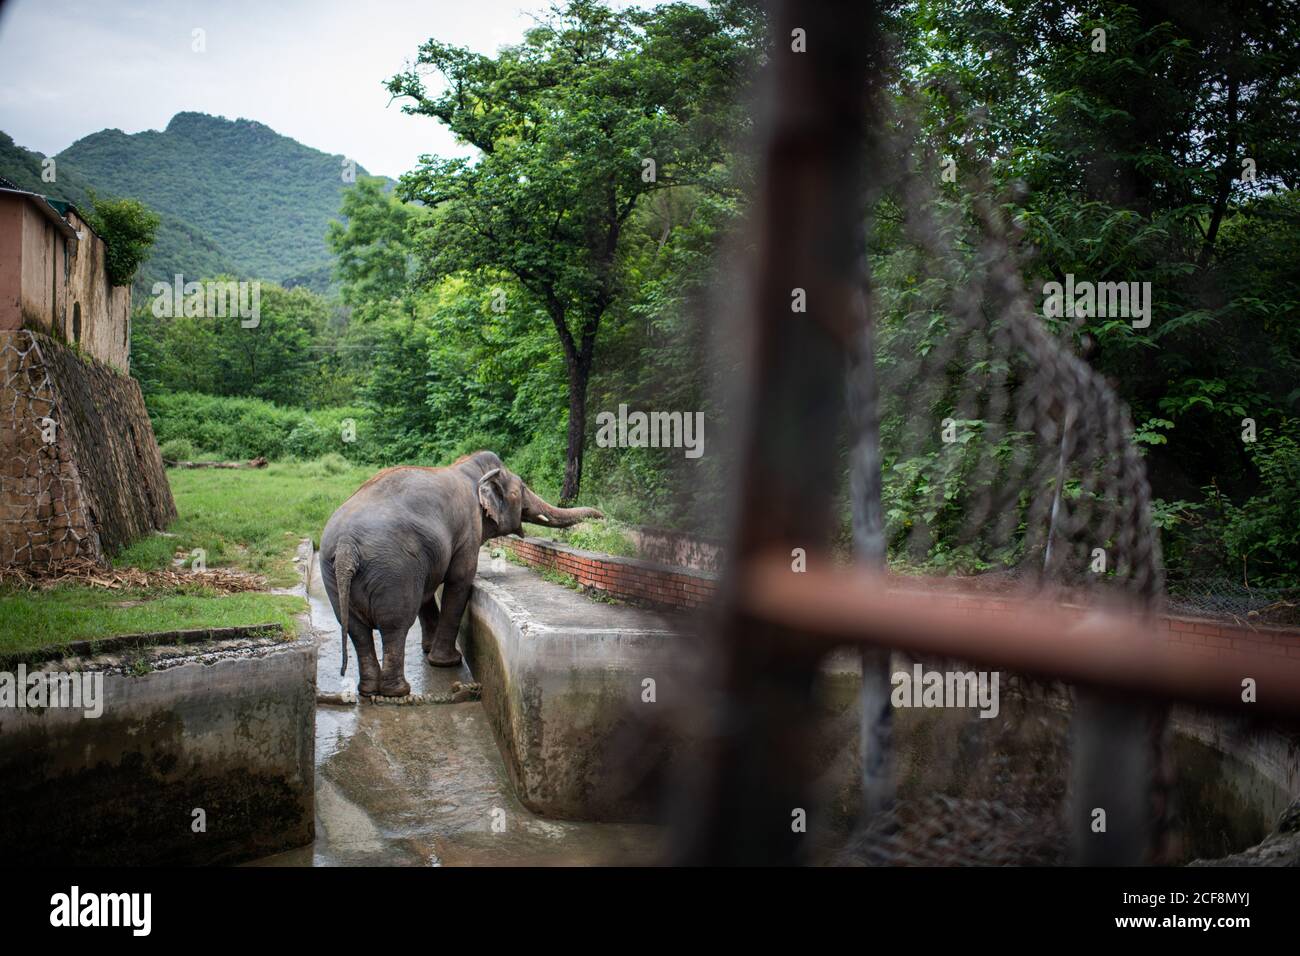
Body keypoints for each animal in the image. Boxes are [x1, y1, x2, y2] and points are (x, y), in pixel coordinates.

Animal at [319, 450, 603, 697]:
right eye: (520, 490)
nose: (601, 517)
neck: (468, 469)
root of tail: (346, 545)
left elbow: (428, 592)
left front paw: (428, 650)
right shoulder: (468, 529)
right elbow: (460, 581)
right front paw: (447, 662)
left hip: (333, 573)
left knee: (355, 629)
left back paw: (368, 690)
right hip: (394, 569)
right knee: (394, 625)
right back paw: (397, 691)